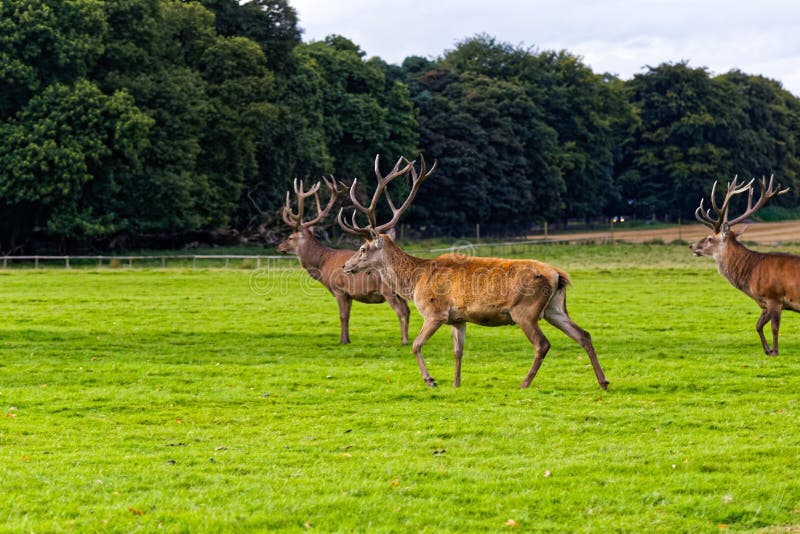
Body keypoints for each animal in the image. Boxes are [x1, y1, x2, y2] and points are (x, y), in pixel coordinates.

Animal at [278, 175, 410, 345]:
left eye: (290, 237)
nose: (279, 246)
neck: (322, 264)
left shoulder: (339, 289)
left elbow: (342, 316)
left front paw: (342, 340)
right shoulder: (349, 294)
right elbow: (348, 316)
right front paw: (347, 339)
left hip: (388, 290)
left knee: (401, 311)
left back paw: (404, 340)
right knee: (408, 311)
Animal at [337, 155, 609, 390]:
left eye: (362, 248)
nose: (346, 266)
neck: (415, 280)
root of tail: (558, 275)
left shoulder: (434, 312)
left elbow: (415, 345)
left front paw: (431, 380)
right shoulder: (458, 318)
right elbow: (458, 351)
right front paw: (456, 383)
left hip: (525, 310)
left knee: (542, 344)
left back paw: (524, 383)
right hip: (554, 308)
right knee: (583, 334)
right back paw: (603, 381)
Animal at [691, 175, 796, 355]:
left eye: (710, 238)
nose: (691, 246)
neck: (752, 273)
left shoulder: (774, 297)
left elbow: (775, 327)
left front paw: (774, 351)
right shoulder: (765, 303)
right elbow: (758, 325)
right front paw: (767, 350)